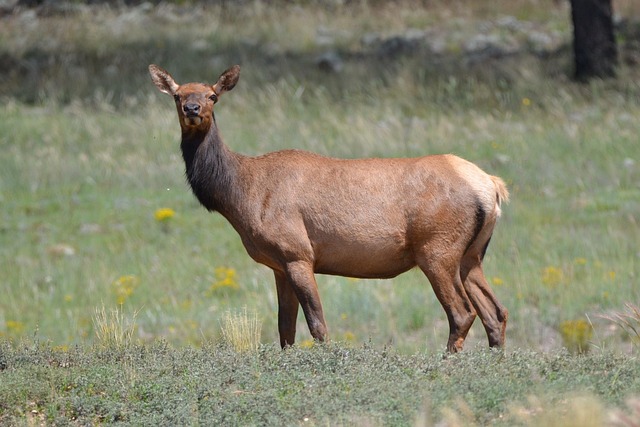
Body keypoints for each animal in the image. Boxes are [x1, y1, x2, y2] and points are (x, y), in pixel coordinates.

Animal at [149, 63, 510, 353]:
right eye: (177, 95)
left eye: (213, 95)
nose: (192, 108)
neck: (240, 195)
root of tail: (492, 186)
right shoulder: (279, 265)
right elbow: (285, 330)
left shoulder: (297, 252)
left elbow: (317, 326)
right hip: (471, 255)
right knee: (496, 313)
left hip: (437, 249)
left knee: (462, 312)